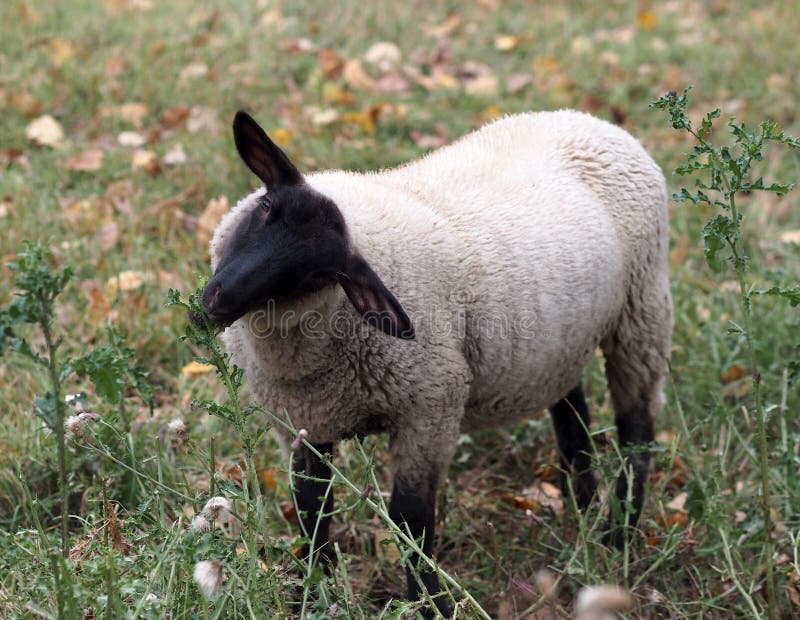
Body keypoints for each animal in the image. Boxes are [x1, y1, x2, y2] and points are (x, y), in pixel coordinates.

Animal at [200, 109, 672, 616]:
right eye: (267, 206)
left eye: (318, 275)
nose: (215, 302)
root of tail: (591, 121)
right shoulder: (302, 420)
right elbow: (311, 507)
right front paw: (313, 592)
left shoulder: (428, 408)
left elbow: (411, 518)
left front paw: (428, 603)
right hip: (559, 343)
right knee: (572, 417)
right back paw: (581, 508)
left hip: (642, 313)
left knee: (637, 433)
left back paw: (617, 536)